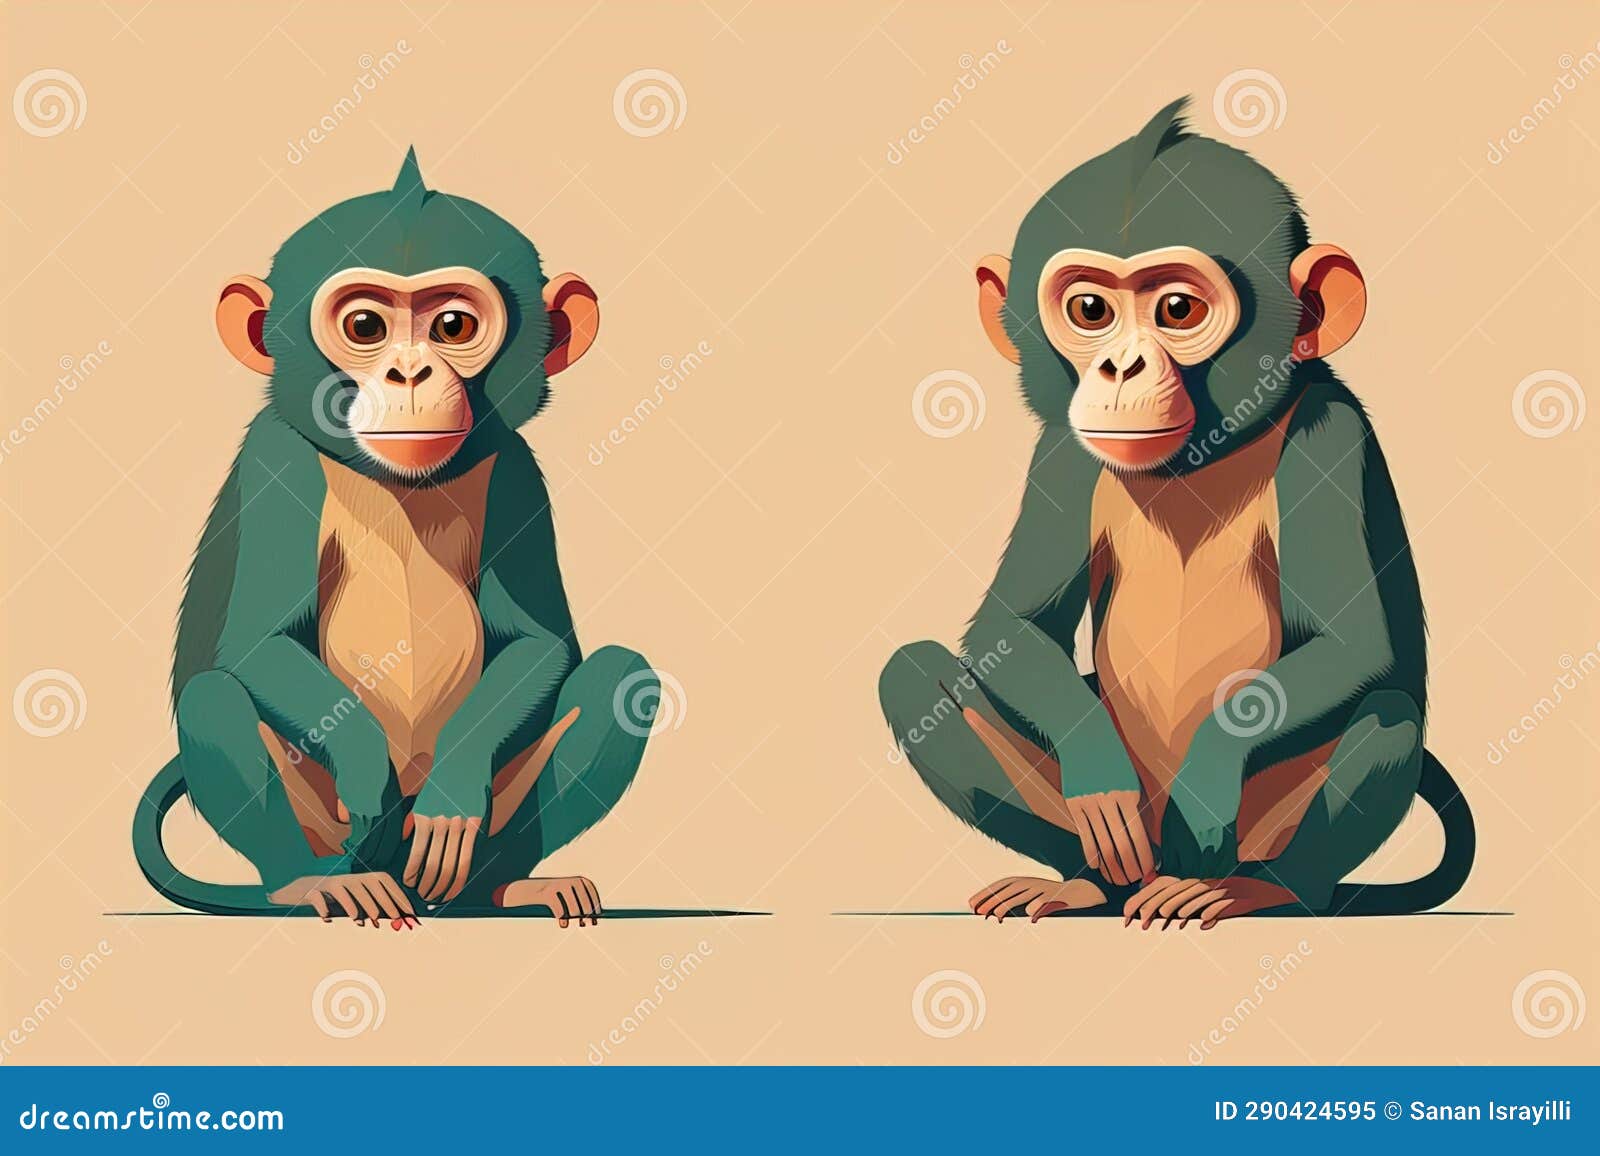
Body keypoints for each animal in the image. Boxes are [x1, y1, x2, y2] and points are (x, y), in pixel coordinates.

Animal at [133, 151, 657, 929]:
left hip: (469, 846)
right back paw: (310, 886)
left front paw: (454, 789)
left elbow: (544, 645)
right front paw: (362, 759)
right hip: (327, 832)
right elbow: (256, 647)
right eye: (364, 325)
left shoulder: (518, 474)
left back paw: (504, 887)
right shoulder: (274, 459)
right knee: (213, 699)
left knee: (621, 679)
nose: (408, 372)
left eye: (451, 325)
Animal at [879, 99, 1475, 929]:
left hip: (1262, 831)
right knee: (912, 677)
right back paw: (1082, 884)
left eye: (1177, 310)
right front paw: (1097, 769)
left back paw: (1256, 888)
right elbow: (1009, 629)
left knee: (1385, 715)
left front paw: (1210, 771)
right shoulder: (1061, 455)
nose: (1120, 366)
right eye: (1090, 309)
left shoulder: (1332, 435)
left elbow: (1355, 648)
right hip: (1123, 847)